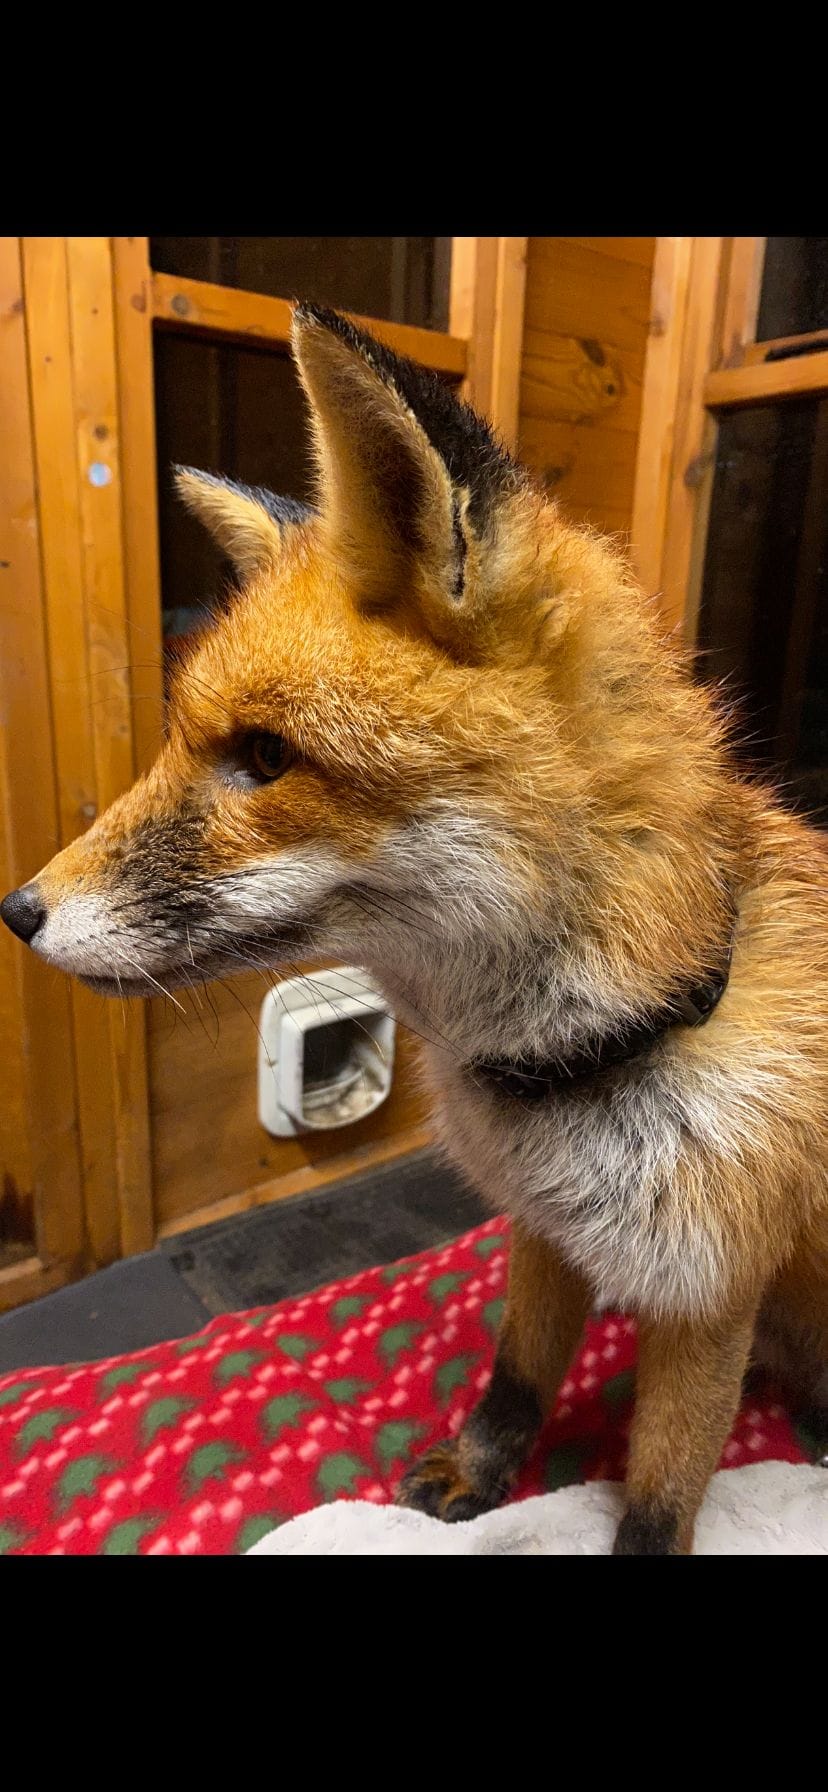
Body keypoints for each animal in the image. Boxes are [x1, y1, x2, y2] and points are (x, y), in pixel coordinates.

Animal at [3, 302, 828, 1553]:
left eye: (266, 757)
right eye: (189, 742)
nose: (18, 910)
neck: (610, 1047)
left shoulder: (707, 1302)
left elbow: (658, 1500)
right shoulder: (546, 1231)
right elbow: (517, 1377)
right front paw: (474, 1479)